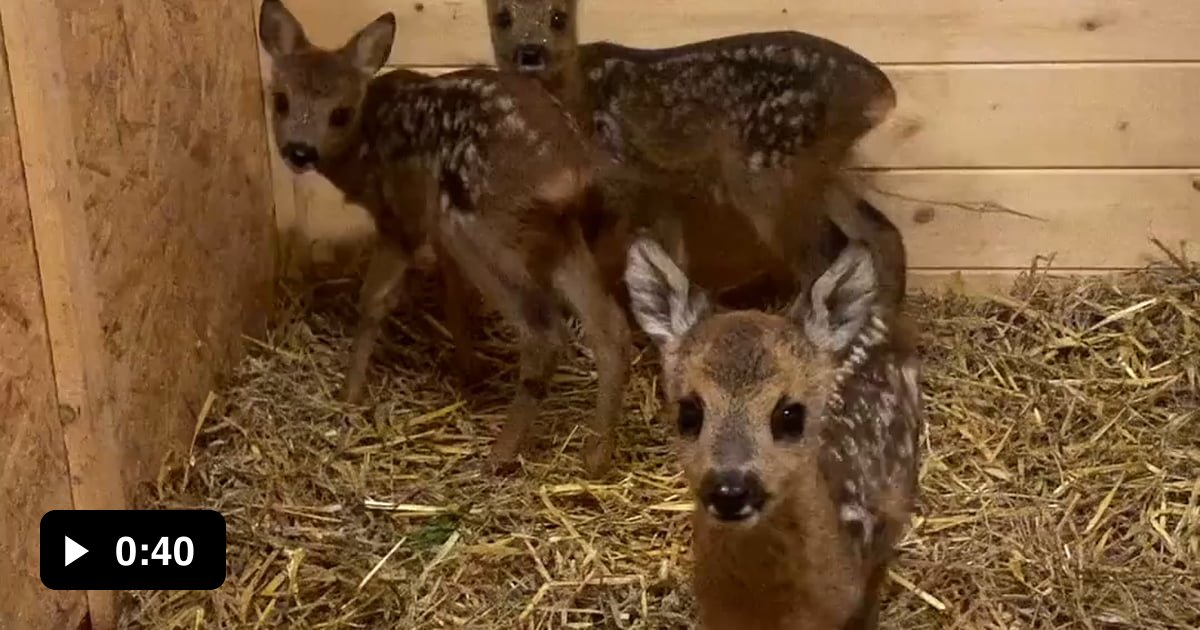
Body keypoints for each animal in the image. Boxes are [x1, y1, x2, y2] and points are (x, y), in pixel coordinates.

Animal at [258, 0, 631, 477]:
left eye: (340, 112)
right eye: (281, 99)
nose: (300, 151)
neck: (367, 144)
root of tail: (573, 168)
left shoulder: (401, 219)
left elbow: (374, 301)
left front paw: (349, 395)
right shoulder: (436, 233)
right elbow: (454, 294)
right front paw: (468, 370)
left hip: (480, 227)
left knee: (544, 333)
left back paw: (500, 455)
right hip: (552, 233)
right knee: (610, 328)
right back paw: (596, 456)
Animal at [483, 0, 907, 313]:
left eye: (558, 16)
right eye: (502, 15)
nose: (530, 51)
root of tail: (878, 91)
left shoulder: (623, 180)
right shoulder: (660, 190)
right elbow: (675, 264)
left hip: (767, 173)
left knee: (819, 264)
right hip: (819, 167)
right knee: (878, 232)